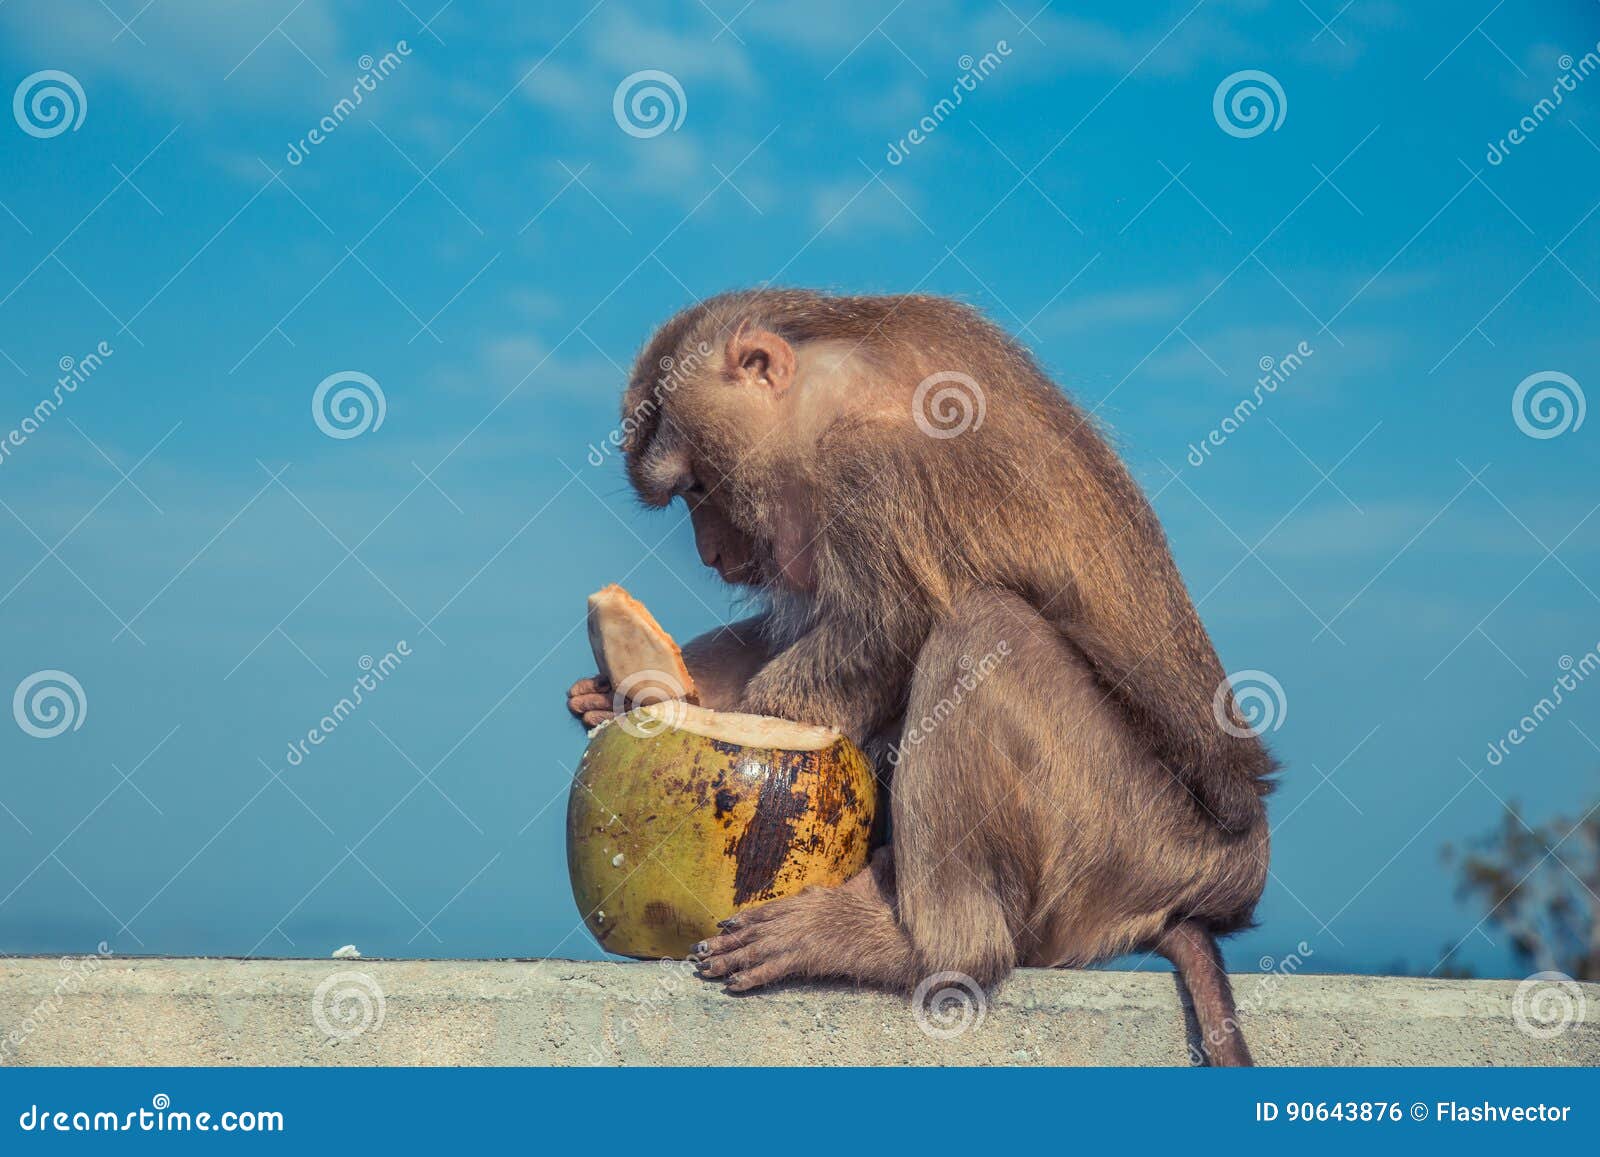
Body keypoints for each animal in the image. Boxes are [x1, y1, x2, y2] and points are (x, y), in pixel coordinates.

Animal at [567, 289, 1276, 1066]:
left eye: (700, 486)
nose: (714, 554)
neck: (832, 387)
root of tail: (1213, 887)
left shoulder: (873, 472)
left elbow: (867, 647)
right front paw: (617, 693)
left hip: (1128, 844)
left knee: (985, 633)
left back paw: (920, 946)